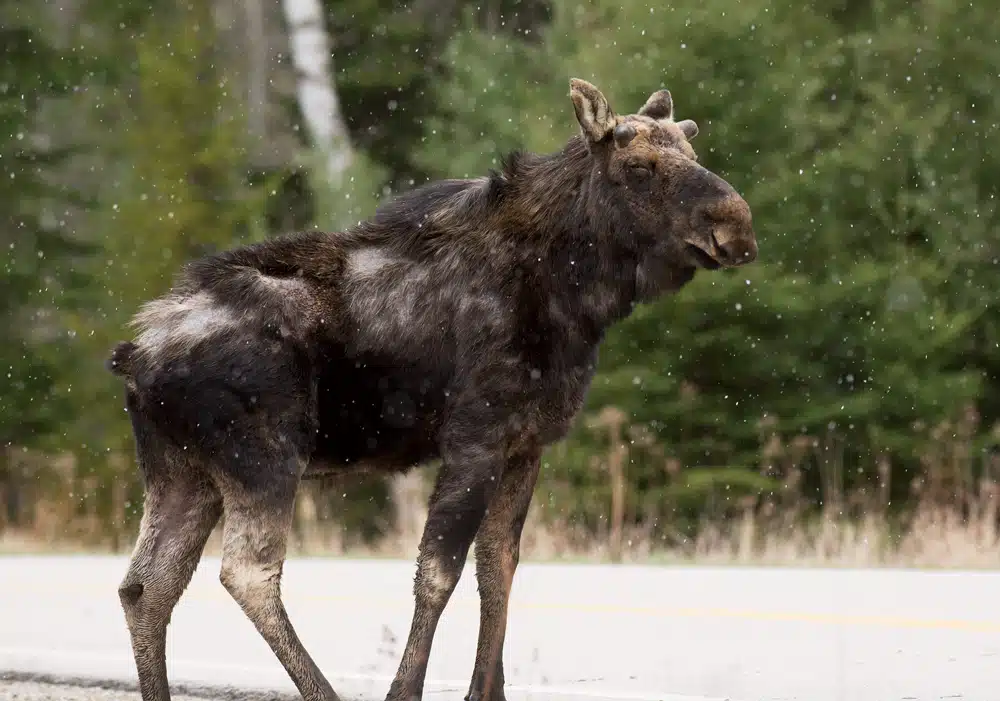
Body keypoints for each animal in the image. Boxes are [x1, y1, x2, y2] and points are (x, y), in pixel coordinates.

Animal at [106, 78, 758, 701]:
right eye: (639, 166)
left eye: (693, 153)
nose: (738, 226)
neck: (575, 296)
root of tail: (135, 357)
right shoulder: (476, 437)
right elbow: (438, 573)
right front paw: (405, 691)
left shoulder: (526, 444)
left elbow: (499, 570)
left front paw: (487, 691)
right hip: (263, 457)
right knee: (246, 573)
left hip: (183, 472)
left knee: (146, 586)